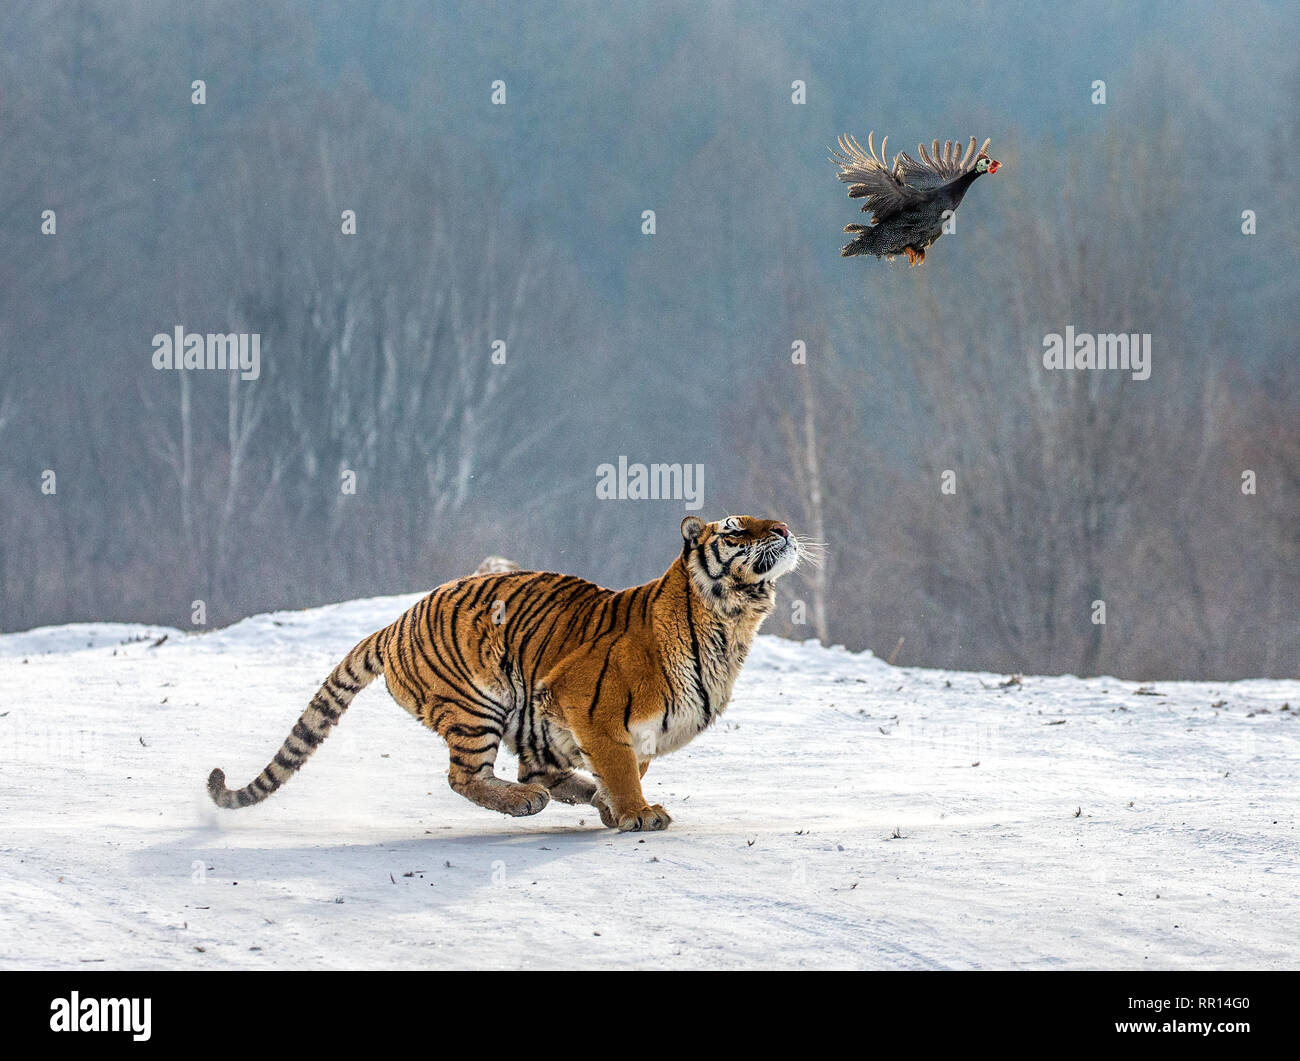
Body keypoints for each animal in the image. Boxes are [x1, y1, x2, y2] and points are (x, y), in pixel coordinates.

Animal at [207, 514, 801, 831]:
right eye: (735, 531)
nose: (785, 528)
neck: (731, 621)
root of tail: (397, 621)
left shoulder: (632, 729)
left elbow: (629, 764)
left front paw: (615, 807)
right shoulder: (590, 704)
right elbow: (621, 766)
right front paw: (636, 813)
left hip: (525, 715)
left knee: (534, 770)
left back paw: (576, 794)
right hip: (479, 704)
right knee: (470, 777)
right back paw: (524, 803)